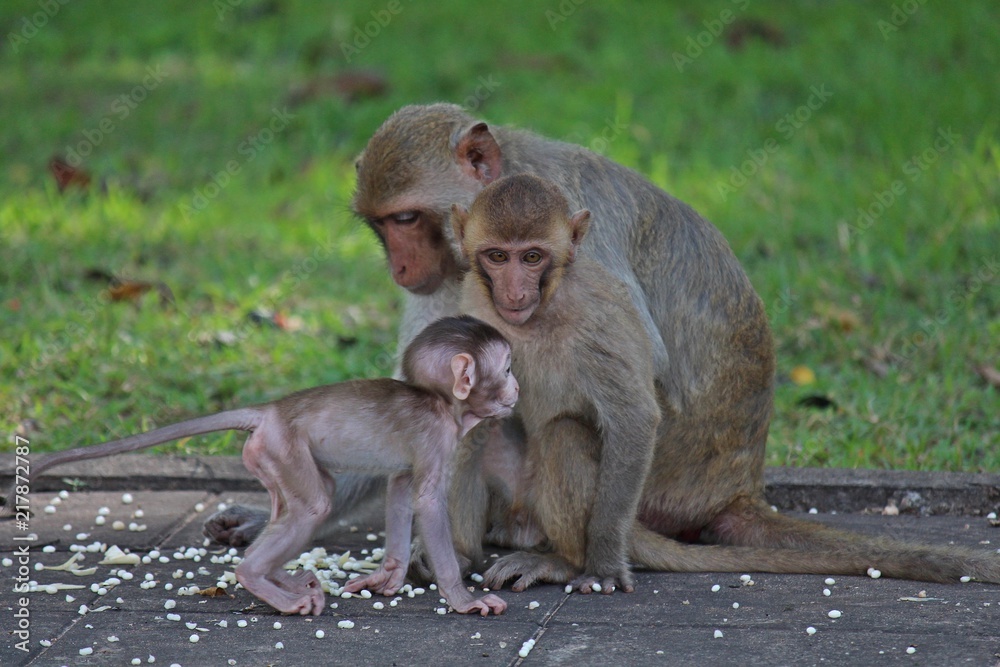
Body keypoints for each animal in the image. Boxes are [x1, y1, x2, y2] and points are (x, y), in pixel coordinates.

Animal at [3, 316, 517, 616]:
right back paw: (261, 580)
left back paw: (281, 577)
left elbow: (399, 487)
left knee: (302, 502)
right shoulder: (436, 437)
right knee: (314, 506)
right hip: (283, 446)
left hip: (270, 456)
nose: (516, 389)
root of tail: (270, 411)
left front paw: (387, 574)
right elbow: (427, 502)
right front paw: (463, 599)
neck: (442, 402)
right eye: (508, 367)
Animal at [210, 103, 1000, 587]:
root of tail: (737, 483)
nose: (401, 267)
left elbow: (640, 357)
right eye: (380, 225)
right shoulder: (458, 273)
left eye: (407, 218)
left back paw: (557, 555)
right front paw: (273, 512)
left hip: (655, 484)